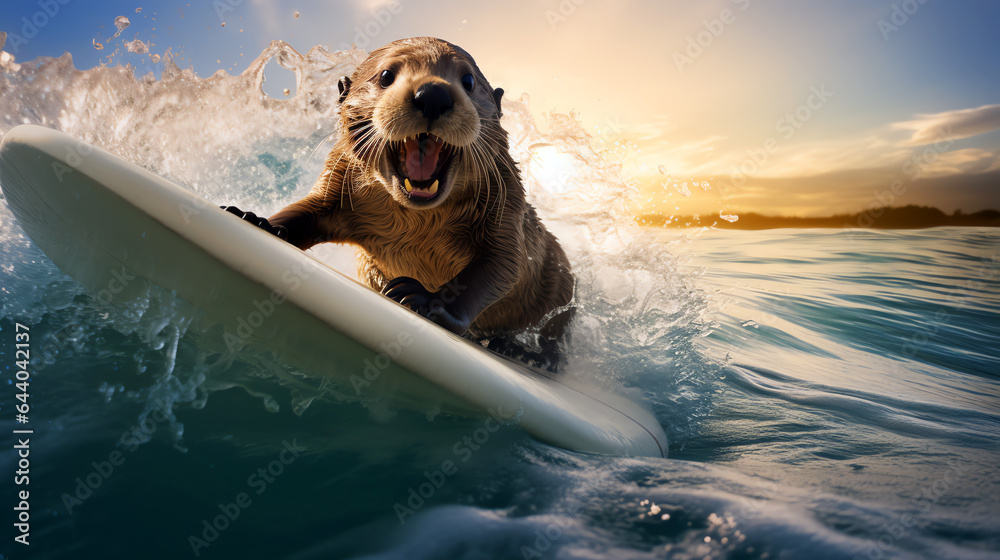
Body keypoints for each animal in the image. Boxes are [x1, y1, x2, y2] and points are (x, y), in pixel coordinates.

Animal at [225, 37, 574, 352]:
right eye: (385, 76)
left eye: (469, 81)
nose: (433, 94)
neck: (417, 224)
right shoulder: (338, 181)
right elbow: (307, 210)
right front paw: (256, 219)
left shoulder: (505, 202)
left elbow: (501, 263)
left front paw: (426, 300)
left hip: (563, 282)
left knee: (555, 331)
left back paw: (525, 352)